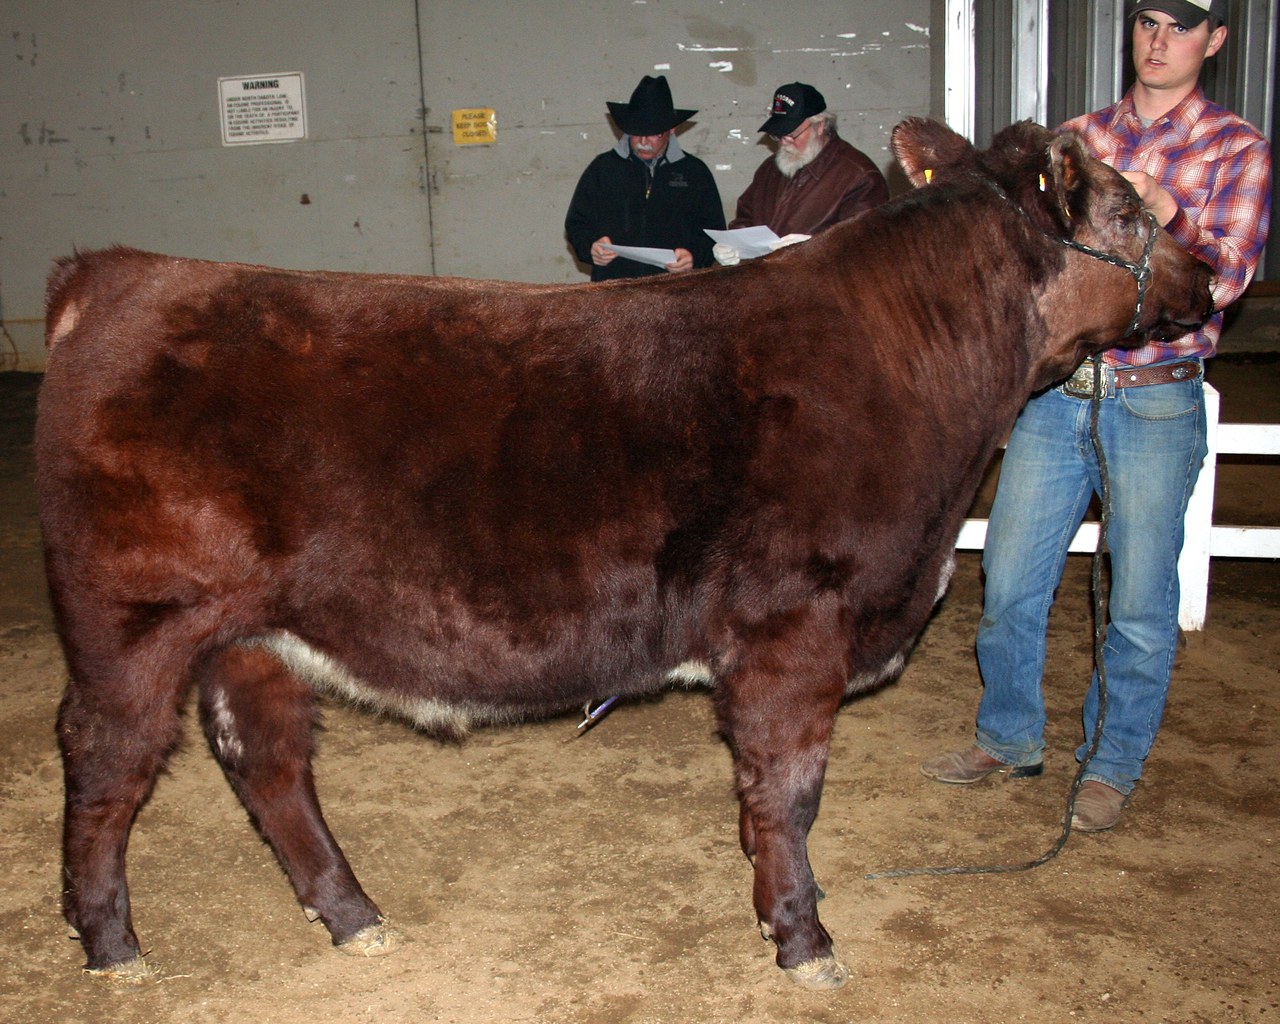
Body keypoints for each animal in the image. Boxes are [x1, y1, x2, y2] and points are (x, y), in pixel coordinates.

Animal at [37, 118, 1211, 989]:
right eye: (1128, 210)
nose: (1210, 276)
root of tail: (118, 275)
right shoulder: (795, 631)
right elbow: (787, 792)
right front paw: (803, 938)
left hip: (253, 632)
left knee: (269, 762)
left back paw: (353, 915)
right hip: (135, 621)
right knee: (104, 761)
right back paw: (112, 944)